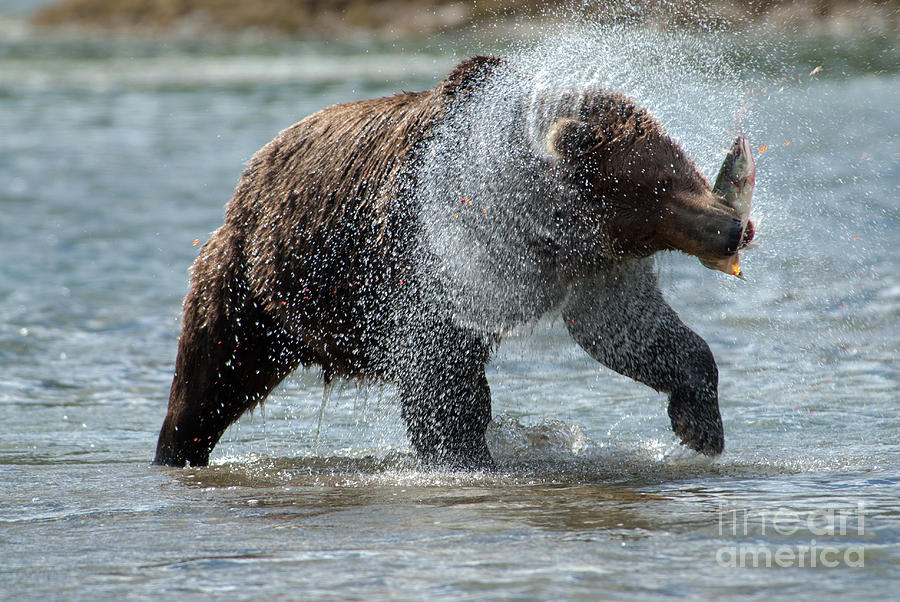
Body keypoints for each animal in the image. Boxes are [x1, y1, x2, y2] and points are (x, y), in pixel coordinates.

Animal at [153, 56, 750, 469]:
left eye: (681, 164)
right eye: (658, 187)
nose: (731, 227)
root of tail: (250, 175)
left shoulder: (593, 266)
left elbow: (627, 329)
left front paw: (700, 425)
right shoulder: (434, 257)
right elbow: (442, 371)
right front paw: (467, 457)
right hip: (252, 284)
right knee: (208, 379)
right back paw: (174, 451)